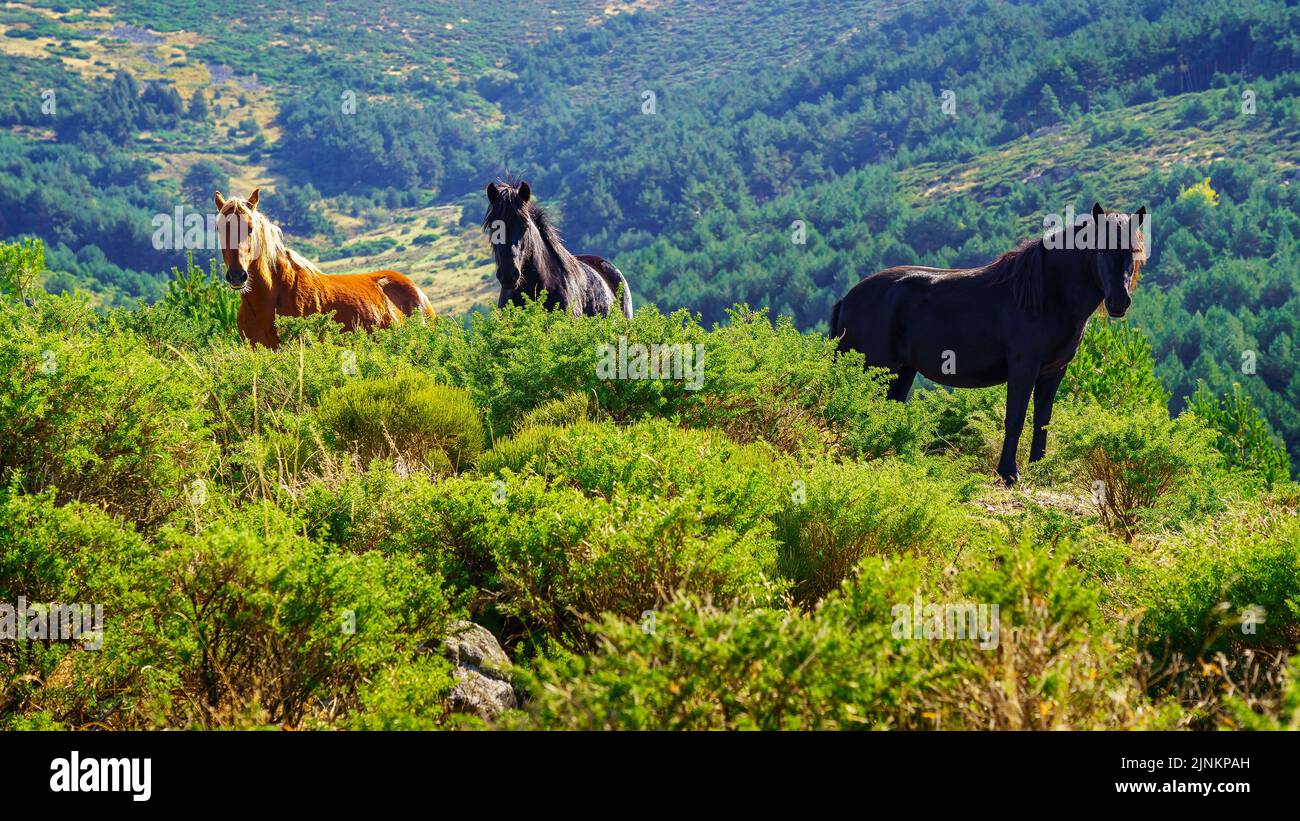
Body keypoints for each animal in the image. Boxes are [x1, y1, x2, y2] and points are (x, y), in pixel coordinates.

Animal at [831, 203, 1145, 486]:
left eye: (1133, 252)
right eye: (1102, 250)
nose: (1119, 302)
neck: (1047, 295)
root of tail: (847, 299)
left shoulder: (1053, 371)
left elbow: (1042, 419)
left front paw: (1041, 469)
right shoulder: (1023, 368)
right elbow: (1015, 418)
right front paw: (1008, 474)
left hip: (900, 373)